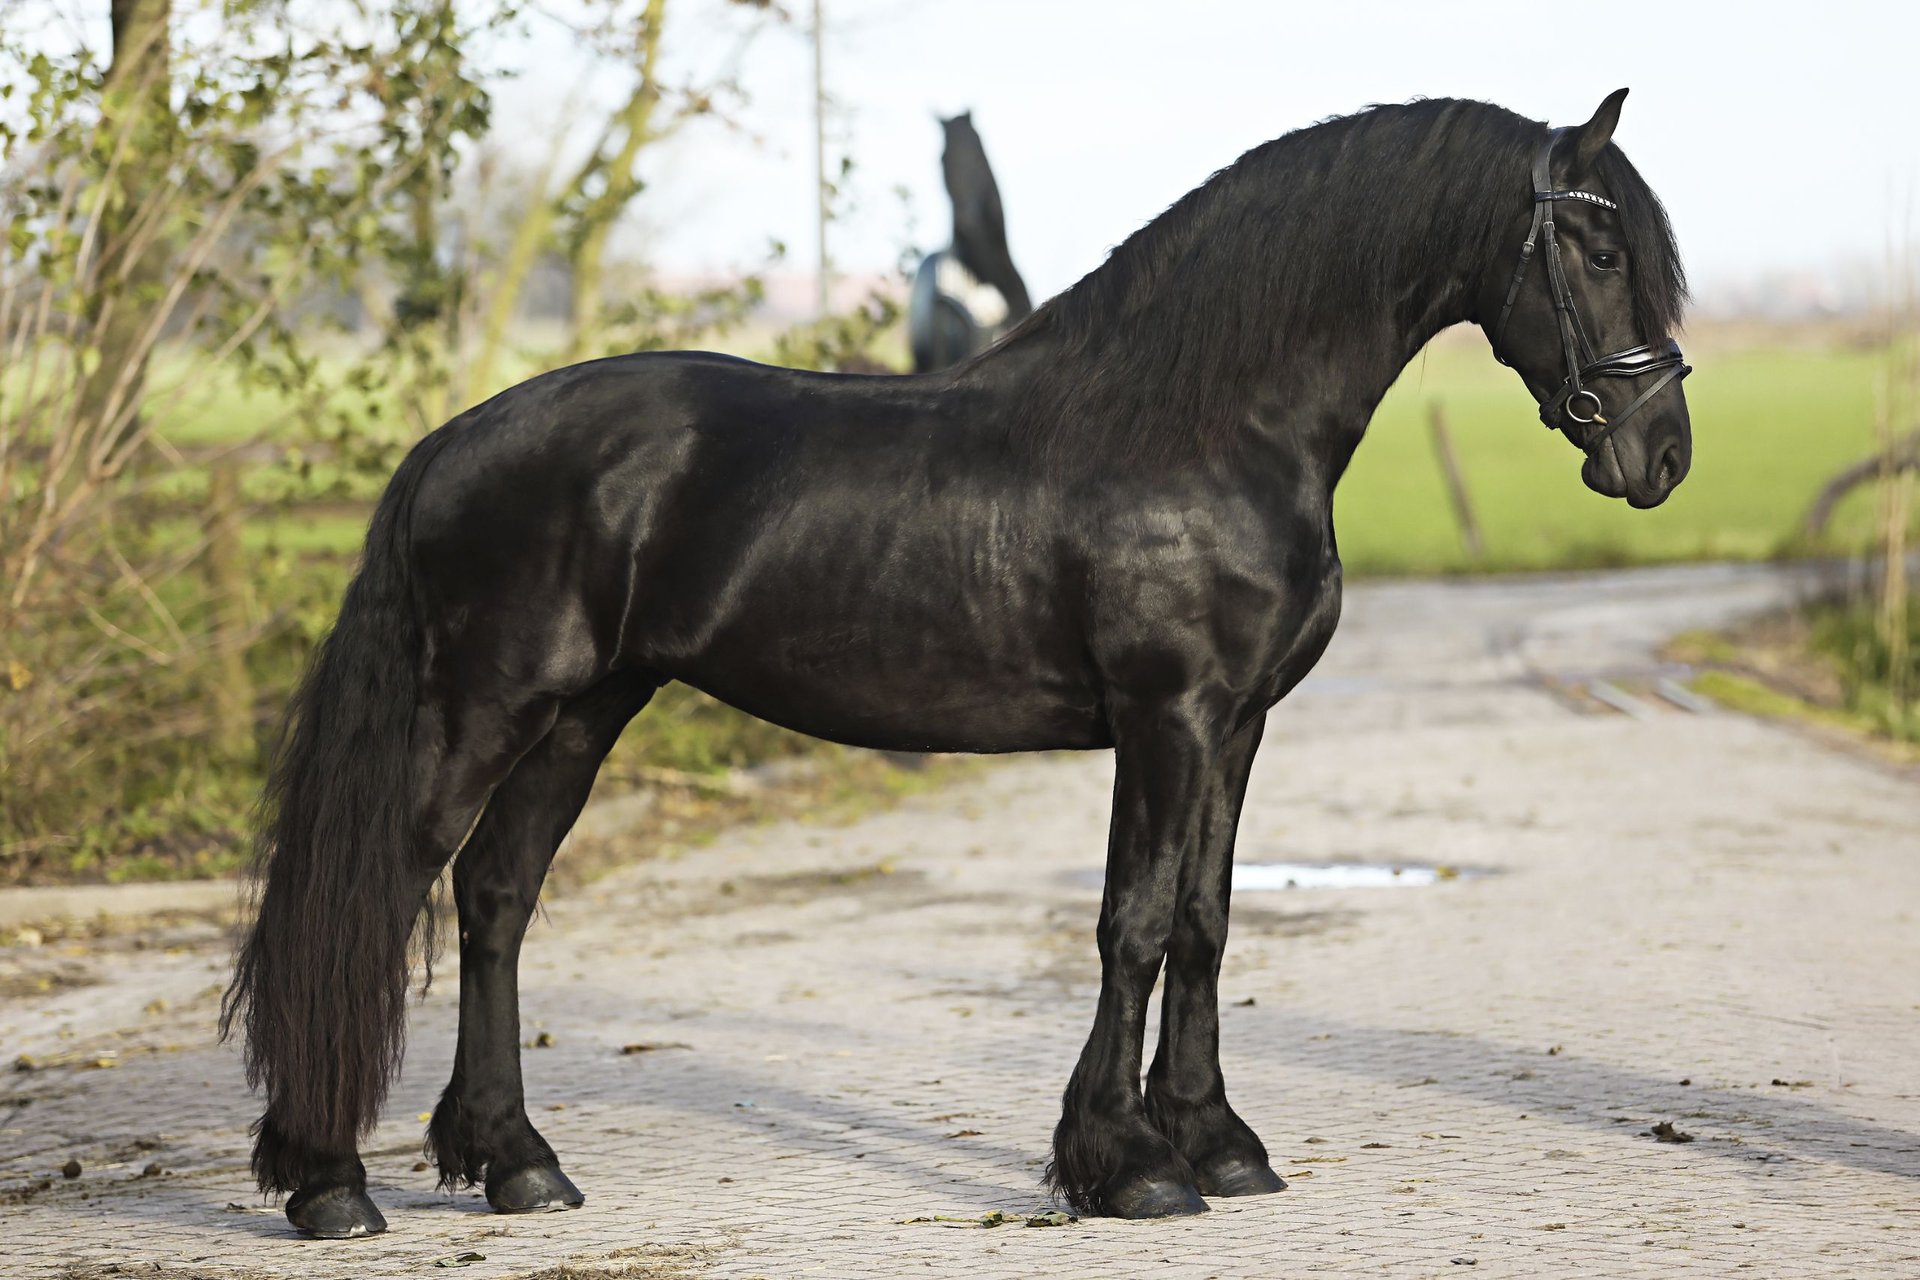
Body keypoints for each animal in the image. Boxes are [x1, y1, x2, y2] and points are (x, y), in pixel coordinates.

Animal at [223, 89, 1690, 1238]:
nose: (1662, 454)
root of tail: (452, 440)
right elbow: (1133, 920)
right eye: (1595, 241)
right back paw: (329, 1182)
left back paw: (516, 1163)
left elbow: (1207, 920)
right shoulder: (1167, 717)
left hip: (587, 707)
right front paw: (1128, 1167)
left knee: (496, 896)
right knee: (383, 886)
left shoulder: (1237, 724)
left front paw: (1219, 1142)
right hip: (489, 703)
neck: (1209, 418)